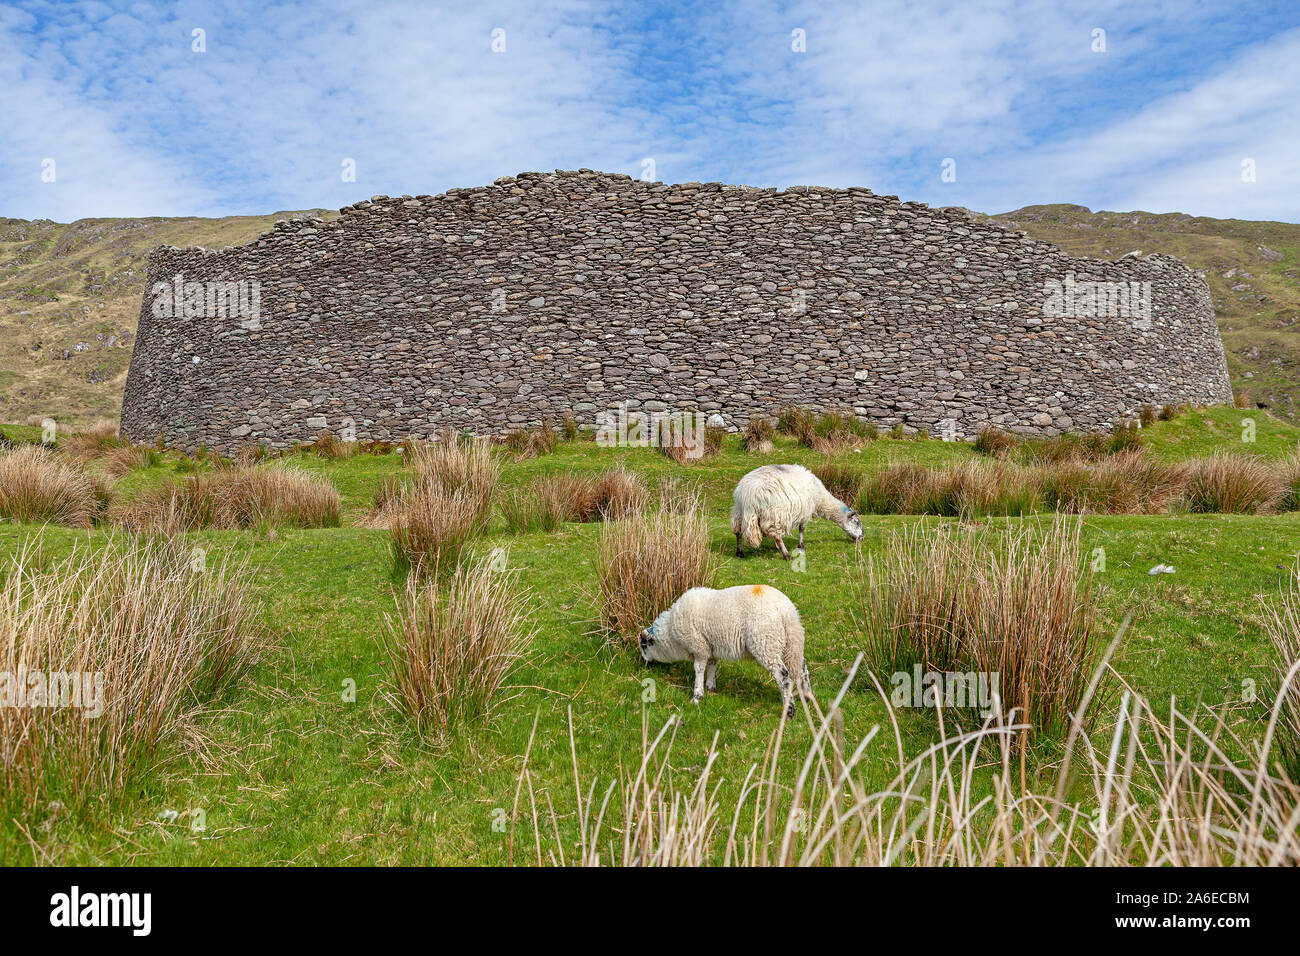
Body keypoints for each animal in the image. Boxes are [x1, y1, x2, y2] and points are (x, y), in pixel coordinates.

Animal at [638, 584, 811, 717]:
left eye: (644, 645)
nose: (643, 663)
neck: (671, 635)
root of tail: (786, 611)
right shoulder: (712, 646)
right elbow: (712, 665)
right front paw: (710, 686)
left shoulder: (699, 647)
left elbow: (699, 669)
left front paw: (697, 696)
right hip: (792, 642)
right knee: (802, 667)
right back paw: (807, 696)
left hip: (766, 643)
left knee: (784, 675)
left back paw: (789, 710)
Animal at [731, 463, 863, 559]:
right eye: (857, 522)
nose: (861, 538)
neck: (822, 501)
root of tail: (749, 493)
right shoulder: (806, 512)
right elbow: (802, 529)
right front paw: (801, 546)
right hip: (775, 515)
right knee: (777, 536)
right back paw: (786, 555)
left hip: (739, 511)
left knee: (738, 532)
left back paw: (739, 552)